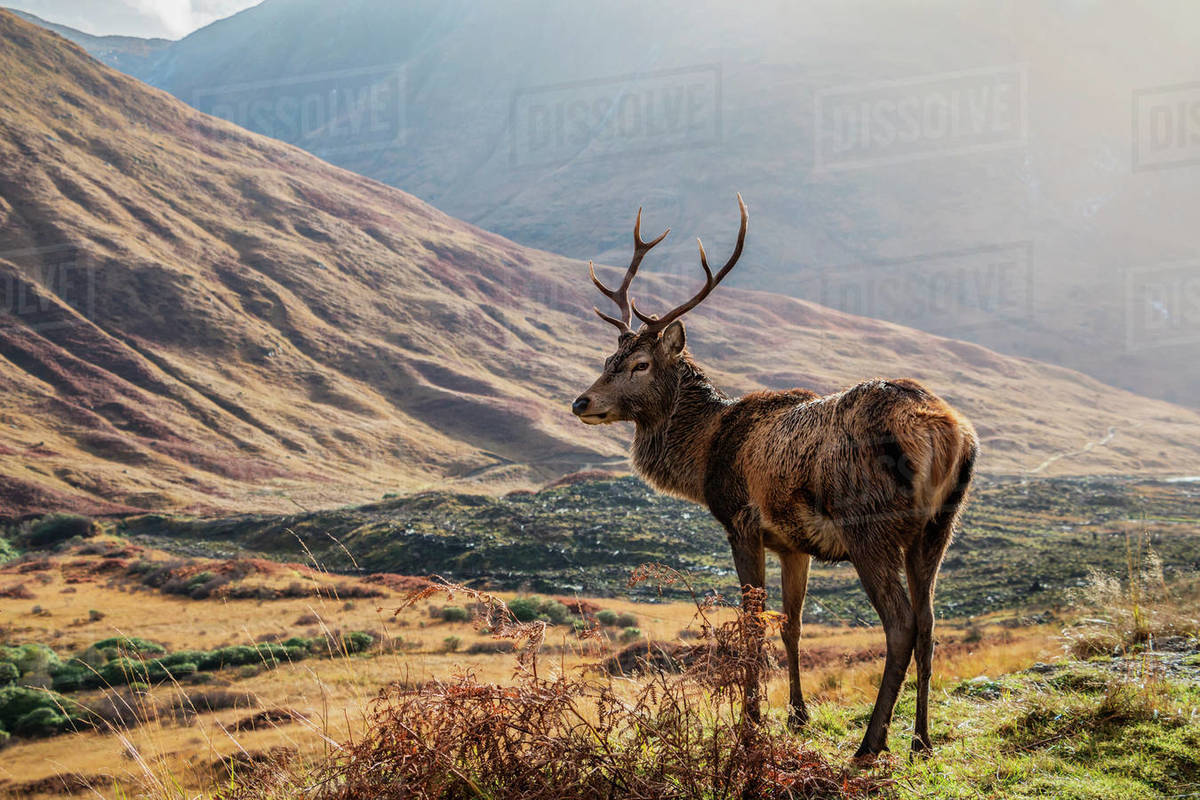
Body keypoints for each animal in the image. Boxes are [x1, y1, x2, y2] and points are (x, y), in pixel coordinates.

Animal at [571, 195, 978, 758]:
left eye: (640, 364)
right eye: (607, 357)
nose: (581, 402)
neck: (704, 453)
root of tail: (945, 432)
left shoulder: (742, 523)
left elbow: (752, 625)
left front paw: (751, 721)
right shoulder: (792, 544)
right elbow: (792, 626)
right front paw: (798, 715)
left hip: (868, 523)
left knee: (901, 623)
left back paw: (870, 744)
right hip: (939, 527)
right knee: (930, 623)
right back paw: (921, 739)